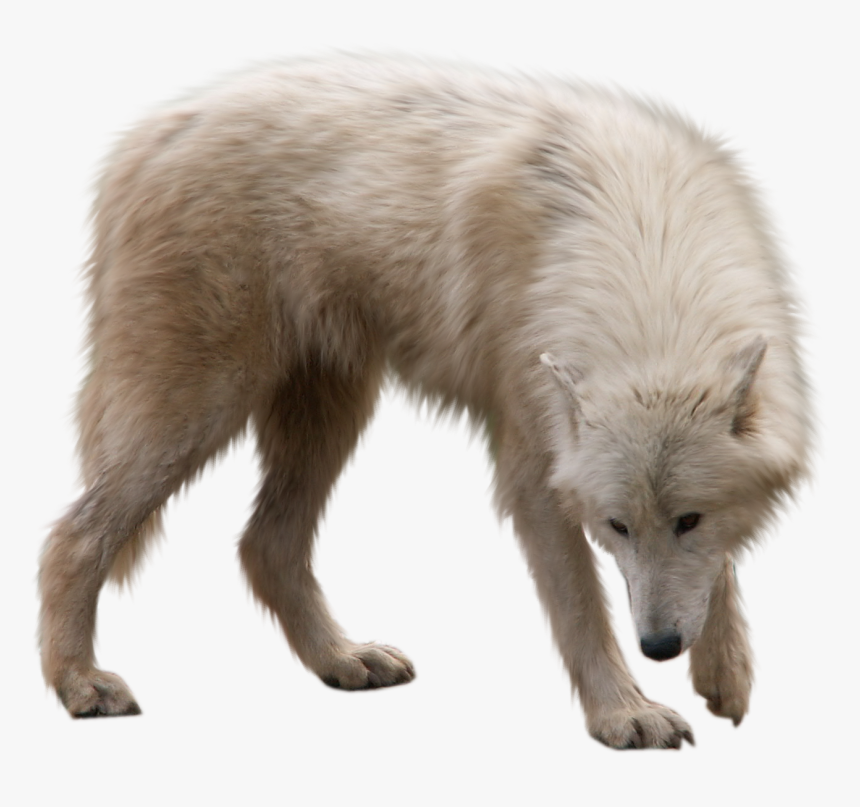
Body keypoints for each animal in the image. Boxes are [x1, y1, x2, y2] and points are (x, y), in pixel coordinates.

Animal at [39, 57, 810, 748]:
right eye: (616, 527)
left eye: (688, 519)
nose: (658, 646)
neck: (647, 245)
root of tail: (145, 136)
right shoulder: (532, 471)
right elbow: (582, 608)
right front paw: (625, 714)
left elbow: (718, 568)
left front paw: (725, 673)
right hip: (200, 405)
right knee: (73, 536)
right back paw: (79, 683)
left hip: (333, 408)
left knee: (265, 544)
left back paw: (342, 659)